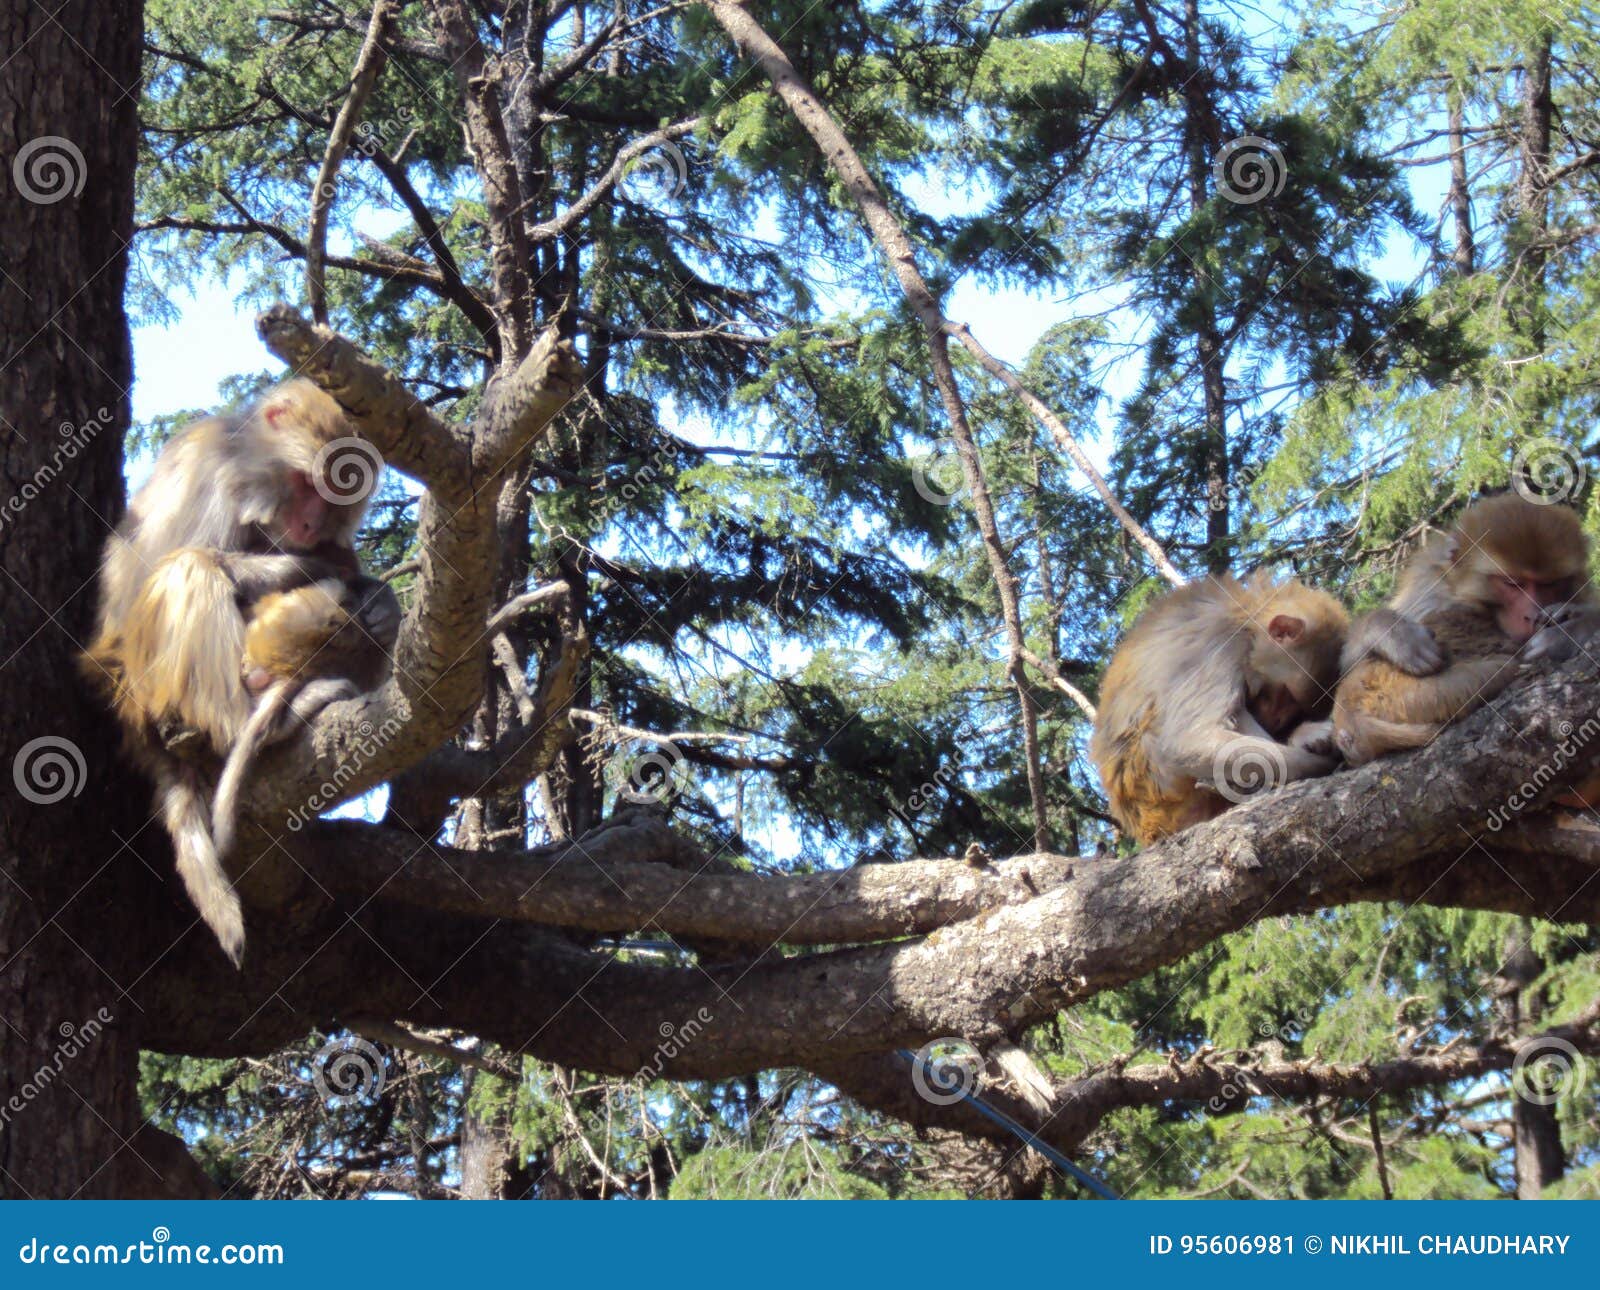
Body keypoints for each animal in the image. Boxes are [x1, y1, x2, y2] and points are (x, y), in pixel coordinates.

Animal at [83, 379, 397, 965]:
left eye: (334, 498)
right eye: (306, 484)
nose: (308, 527)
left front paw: (378, 597)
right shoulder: (206, 472)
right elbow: (151, 579)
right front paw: (298, 566)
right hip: (148, 683)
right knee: (189, 570)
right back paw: (254, 721)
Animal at [1333, 493, 1599, 767]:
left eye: (1550, 584)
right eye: (1512, 584)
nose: (1531, 614)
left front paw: (1574, 627)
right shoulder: (1427, 591)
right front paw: (1393, 633)